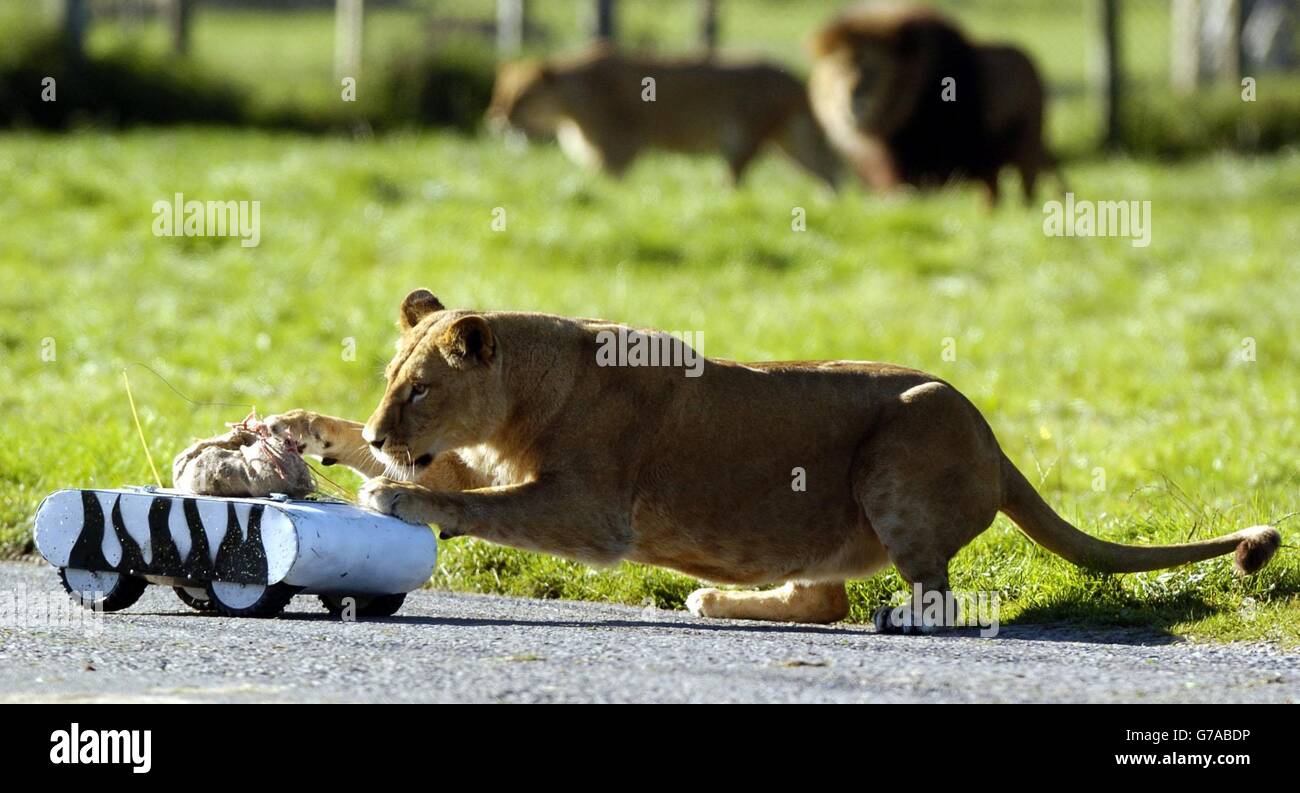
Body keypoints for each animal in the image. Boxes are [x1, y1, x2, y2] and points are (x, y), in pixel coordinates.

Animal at [263, 290, 1281, 631]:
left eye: (420, 389)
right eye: (389, 381)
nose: (386, 433)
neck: (527, 395)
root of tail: (996, 441)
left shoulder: (591, 511)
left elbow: (480, 507)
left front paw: (397, 498)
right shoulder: (484, 457)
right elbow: (445, 477)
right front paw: (301, 428)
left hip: (908, 434)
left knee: (938, 589)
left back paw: (905, 619)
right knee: (826, 597)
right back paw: (723, 599)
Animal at [486, 46, 841, 188]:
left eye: (520, 97)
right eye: (499, 95)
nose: (495, 120)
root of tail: (794, 78)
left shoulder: (620, 148)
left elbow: (608, 183)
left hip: (744, 140)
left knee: (734, 182)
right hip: (790, 143)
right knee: (827, 171)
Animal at [809, 4, 1063, 204]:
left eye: (871, 70)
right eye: (838, 70)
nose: (853, 98)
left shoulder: (913, 174)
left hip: (1026, 150)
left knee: (1027, 194)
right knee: (994, 195)